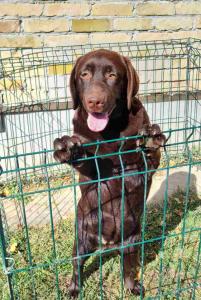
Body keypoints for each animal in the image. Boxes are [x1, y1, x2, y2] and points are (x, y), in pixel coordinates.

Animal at [53, 49, 165, 298]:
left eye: (112, 75)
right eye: (84, 74)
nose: (94, 101)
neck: (110, 129)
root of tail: (108, 243)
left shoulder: (149, 166)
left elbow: (151, 154)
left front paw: (151, 138)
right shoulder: (91, 172)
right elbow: (86, 160)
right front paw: (68, 147)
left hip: (132, 242)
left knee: (128, 269)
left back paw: (133, 287)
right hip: (82, 238)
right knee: (76, 265)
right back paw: (73, 289)